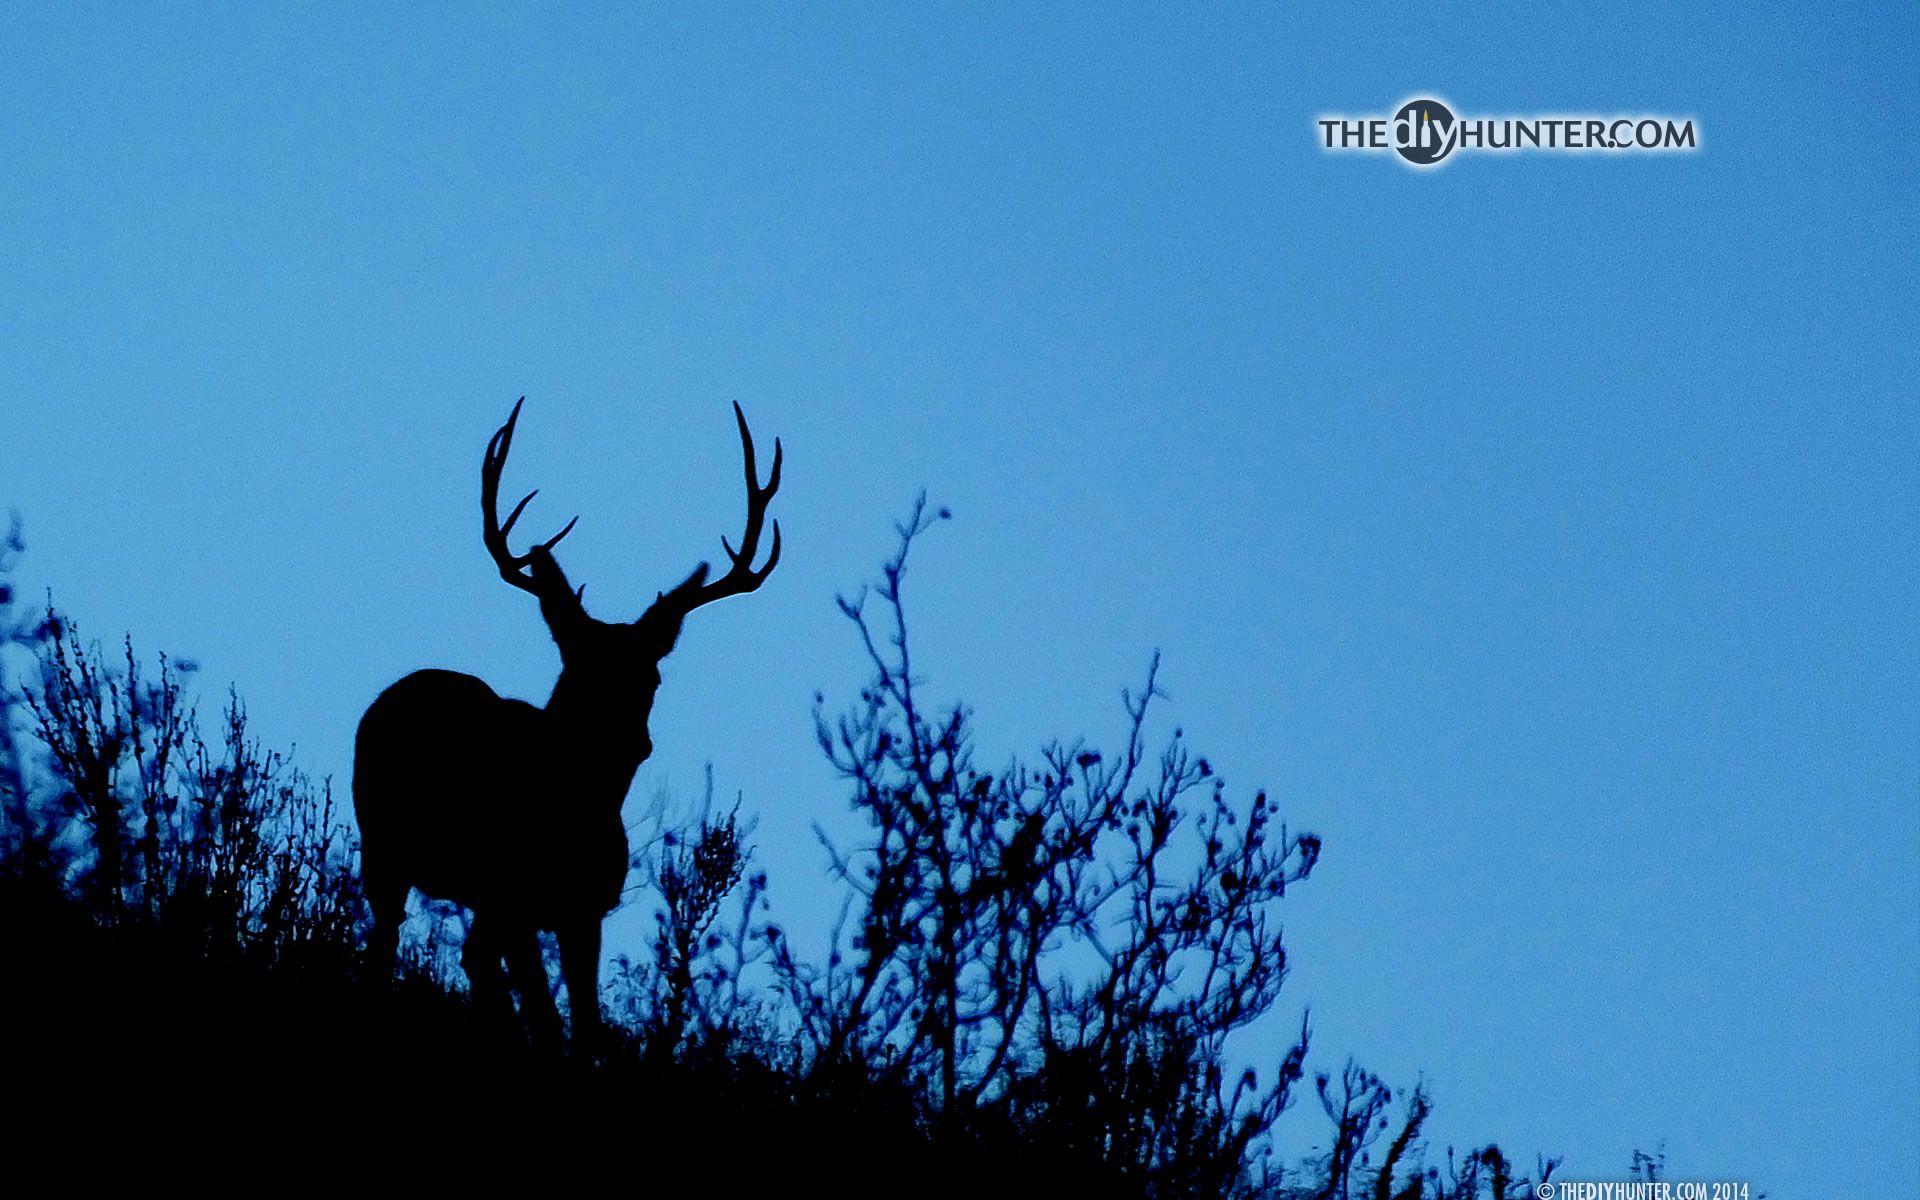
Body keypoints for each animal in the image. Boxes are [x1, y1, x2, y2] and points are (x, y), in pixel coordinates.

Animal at [352, 398, 781, 1050]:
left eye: (651, 678)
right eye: (574, 667)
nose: (628, 740)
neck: (574, 813)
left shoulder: (584, 911)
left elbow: (585, 1025)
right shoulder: (509, 891)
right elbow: (541, 1014)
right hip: (386, 846)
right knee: (397, 944)